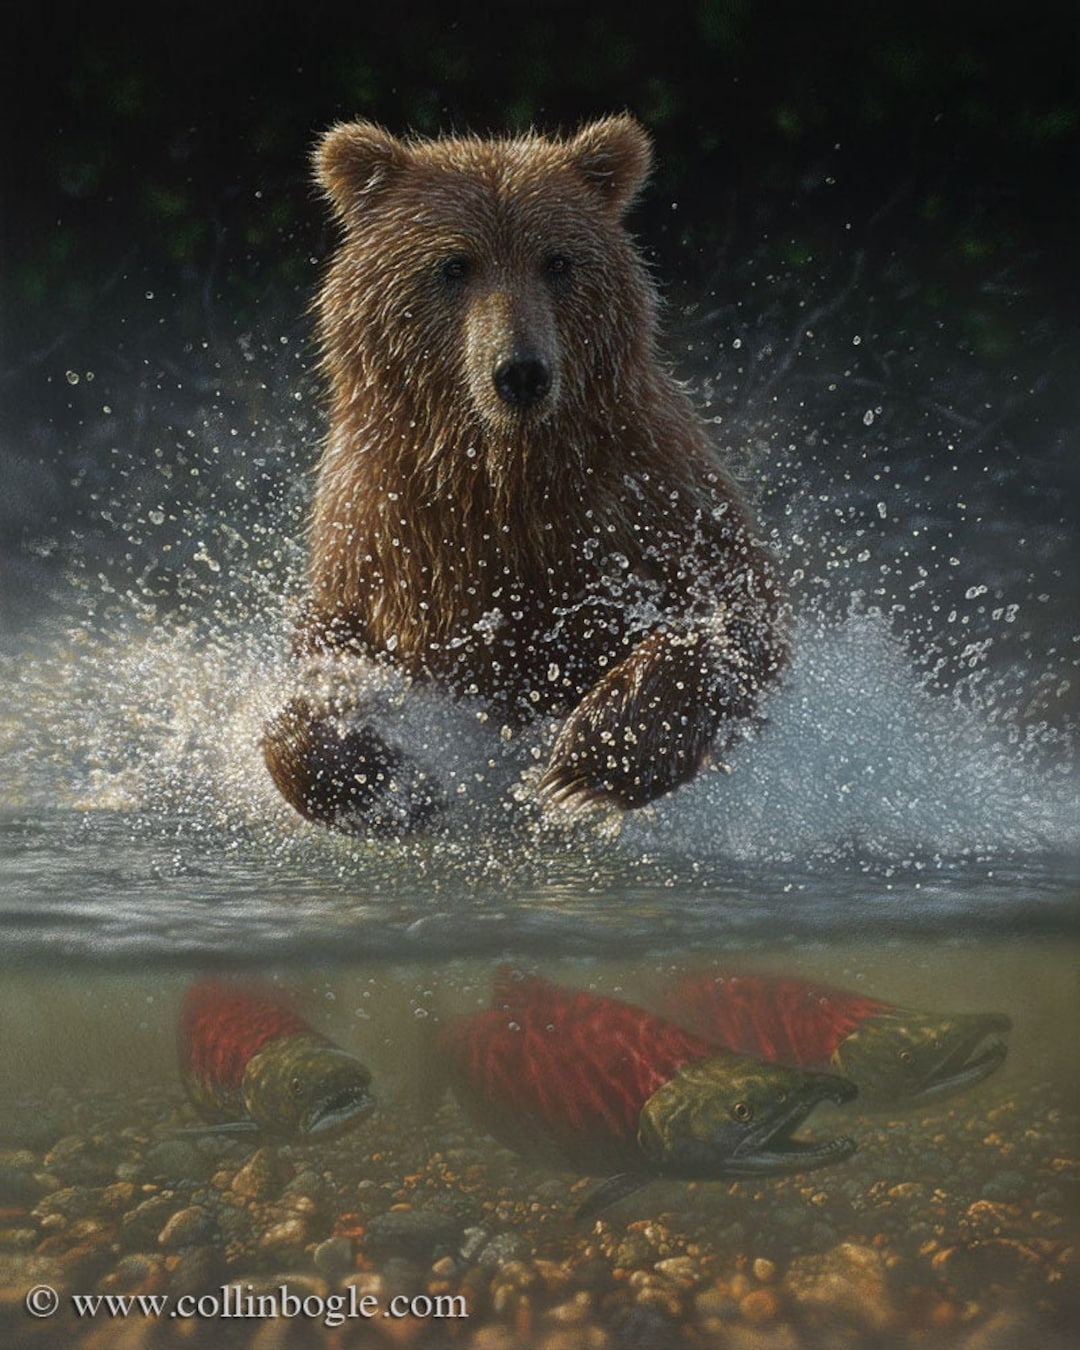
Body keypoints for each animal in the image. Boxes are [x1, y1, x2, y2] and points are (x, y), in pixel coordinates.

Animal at [262, 115, 787, 835]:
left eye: (557, 260)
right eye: (454, 264)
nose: (520, 372)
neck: (502, 468)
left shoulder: (647, 500)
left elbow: (734, 624)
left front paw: (591, 762)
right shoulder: (383, 533)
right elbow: (315, 680)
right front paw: (394, 784)